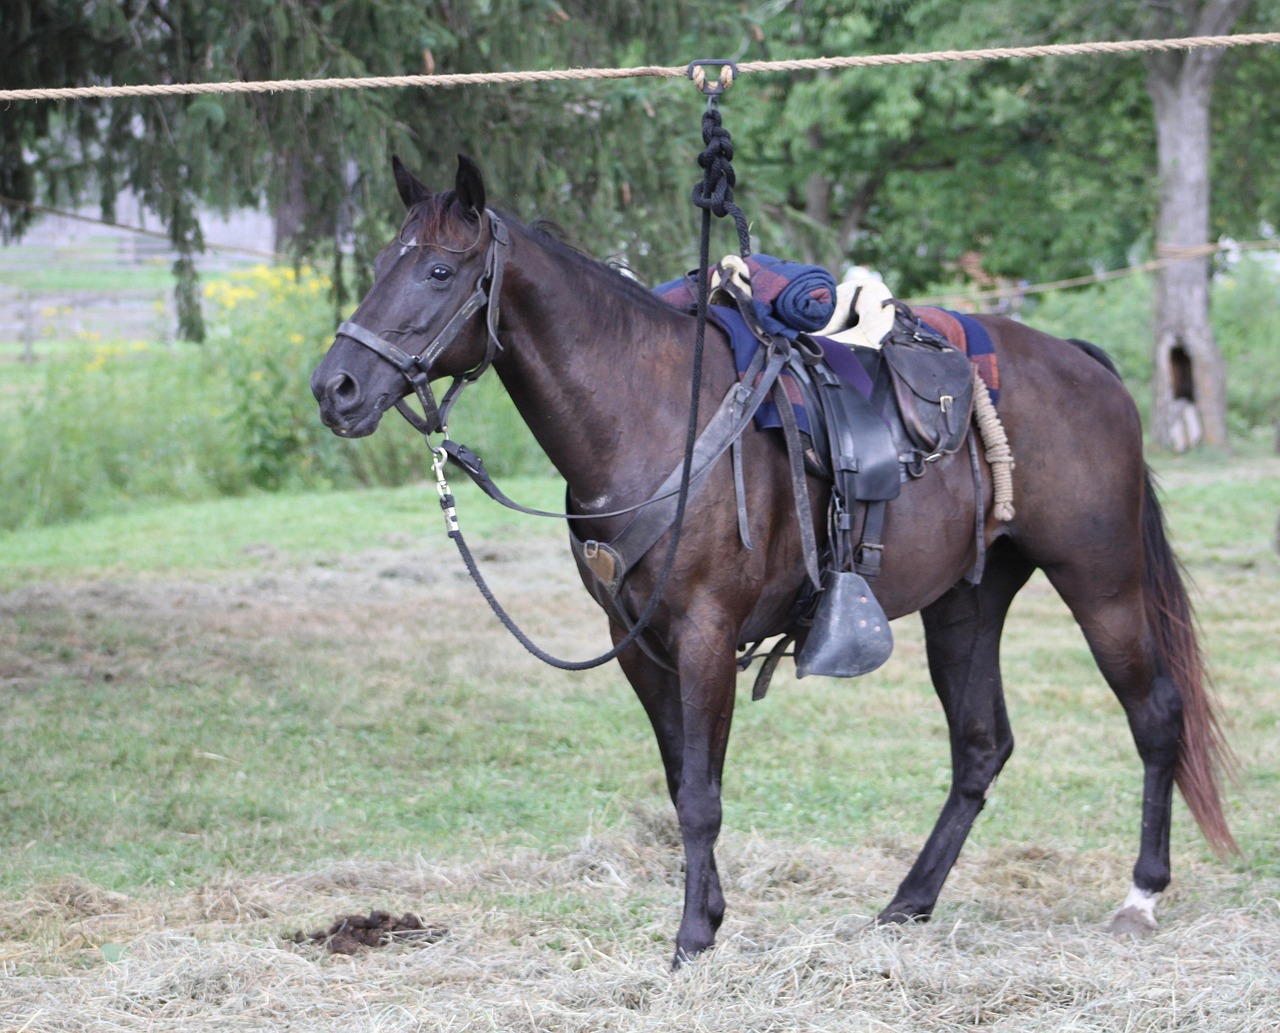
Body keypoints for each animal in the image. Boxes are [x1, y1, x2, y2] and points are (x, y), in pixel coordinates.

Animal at [311, 155, 1235, 967]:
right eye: (383, 264)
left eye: (438, 270)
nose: (335, 388)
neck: (653, 416)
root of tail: (1086, 365)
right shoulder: (638, 644)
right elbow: (683, 776)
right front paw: (711, 916)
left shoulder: (705, 635)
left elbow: (699, 795)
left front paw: (691, 938)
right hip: (966, 604)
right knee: (981, 746)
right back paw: (909, 901)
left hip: (1102, 582)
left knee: (1155, 714)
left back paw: (1140, 895)